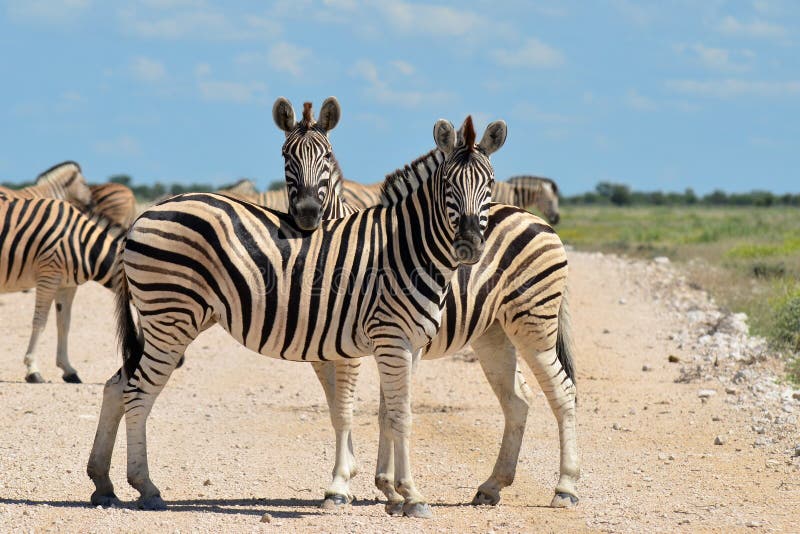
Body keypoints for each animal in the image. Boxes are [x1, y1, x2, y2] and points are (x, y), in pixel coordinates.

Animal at [0, 196, 124, 383]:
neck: (83, 243)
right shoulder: (48, 276)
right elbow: (40, 322)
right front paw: (32, 370)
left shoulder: (67, 286)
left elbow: (64, 324)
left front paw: (68, 369)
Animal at [86, 114, 506, 519]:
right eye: (449, 185)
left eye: (490, 184)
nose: (469, 246)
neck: (407, 248)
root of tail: (146, 214)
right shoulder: (391, 338)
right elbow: (401, 416)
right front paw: (412, 496)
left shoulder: (412, 344)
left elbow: (389, 414)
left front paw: (392, 494)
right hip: (170, 317)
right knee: (138, 393)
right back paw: (146, 487)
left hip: (163, 319)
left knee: (117, 385)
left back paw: (103, 484)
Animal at [271, 97, 579, 511]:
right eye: (286, 155)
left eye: (328, 156)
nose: (306, 213)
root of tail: (537, 219)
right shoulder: (333, 348)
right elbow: (357, 408)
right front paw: (381, 485)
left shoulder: (365, 344)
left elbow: (361, 409)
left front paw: (346, 484)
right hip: (494, 333)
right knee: (518, 400)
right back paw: (492, 485)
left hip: (534, 322)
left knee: (563, 392)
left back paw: (566, 487)